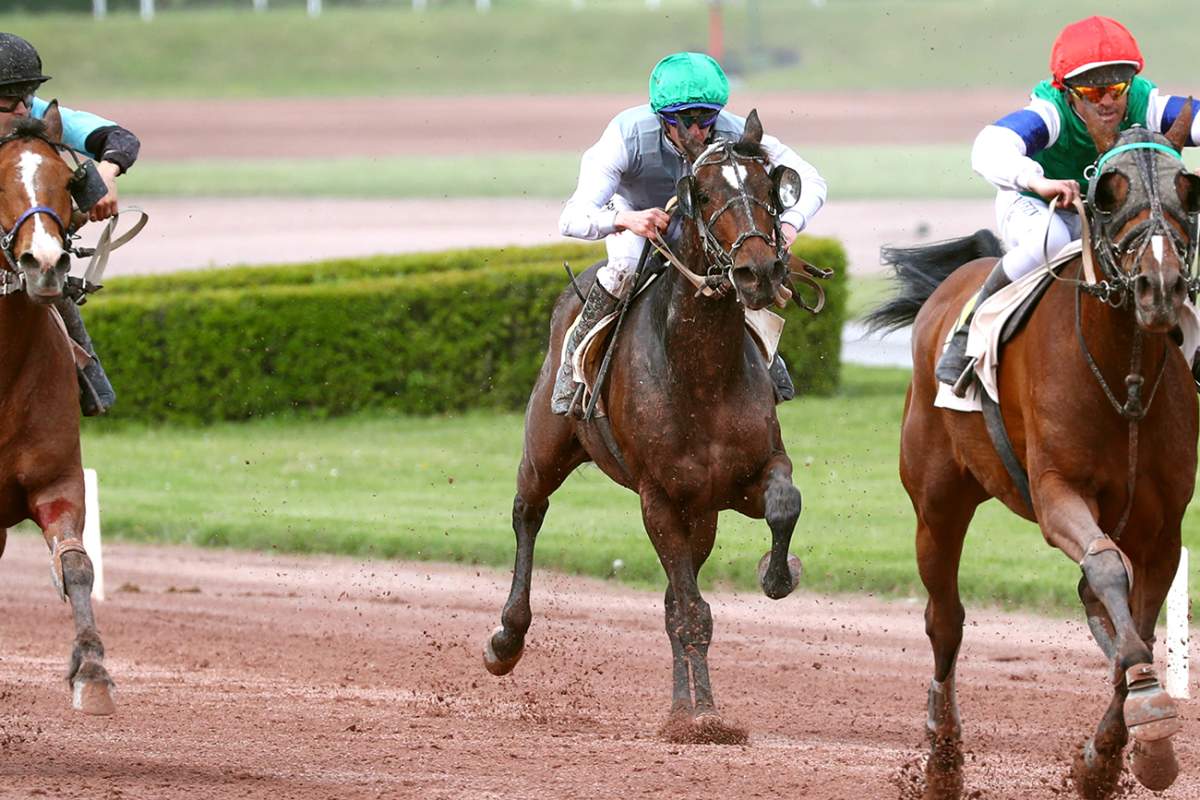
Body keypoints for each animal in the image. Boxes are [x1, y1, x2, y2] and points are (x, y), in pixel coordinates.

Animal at [483, 110, 807, 741]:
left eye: (768, 187)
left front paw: (778, 575)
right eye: (703, 193)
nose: (758, 270)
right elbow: (692, 612)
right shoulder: (658, 496)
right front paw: (703, 719)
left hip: (701, 514)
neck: (701, 375)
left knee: (671, 595)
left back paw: (681, 701)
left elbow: (784, 505)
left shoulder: (744, 477)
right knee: (528, 512)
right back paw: (506, 639)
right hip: (547, 448)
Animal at [866, 109, 1200, 800]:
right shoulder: (1056, 493)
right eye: (1109, 192)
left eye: (1189, 188)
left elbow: (1138, 622)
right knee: (945, 619)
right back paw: (943, 760)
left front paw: (1109, 758)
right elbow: (1107, 573)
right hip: (937, 502)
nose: (1159, 285)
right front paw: (1148, 700)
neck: (1124, 378)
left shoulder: (1163, 527)